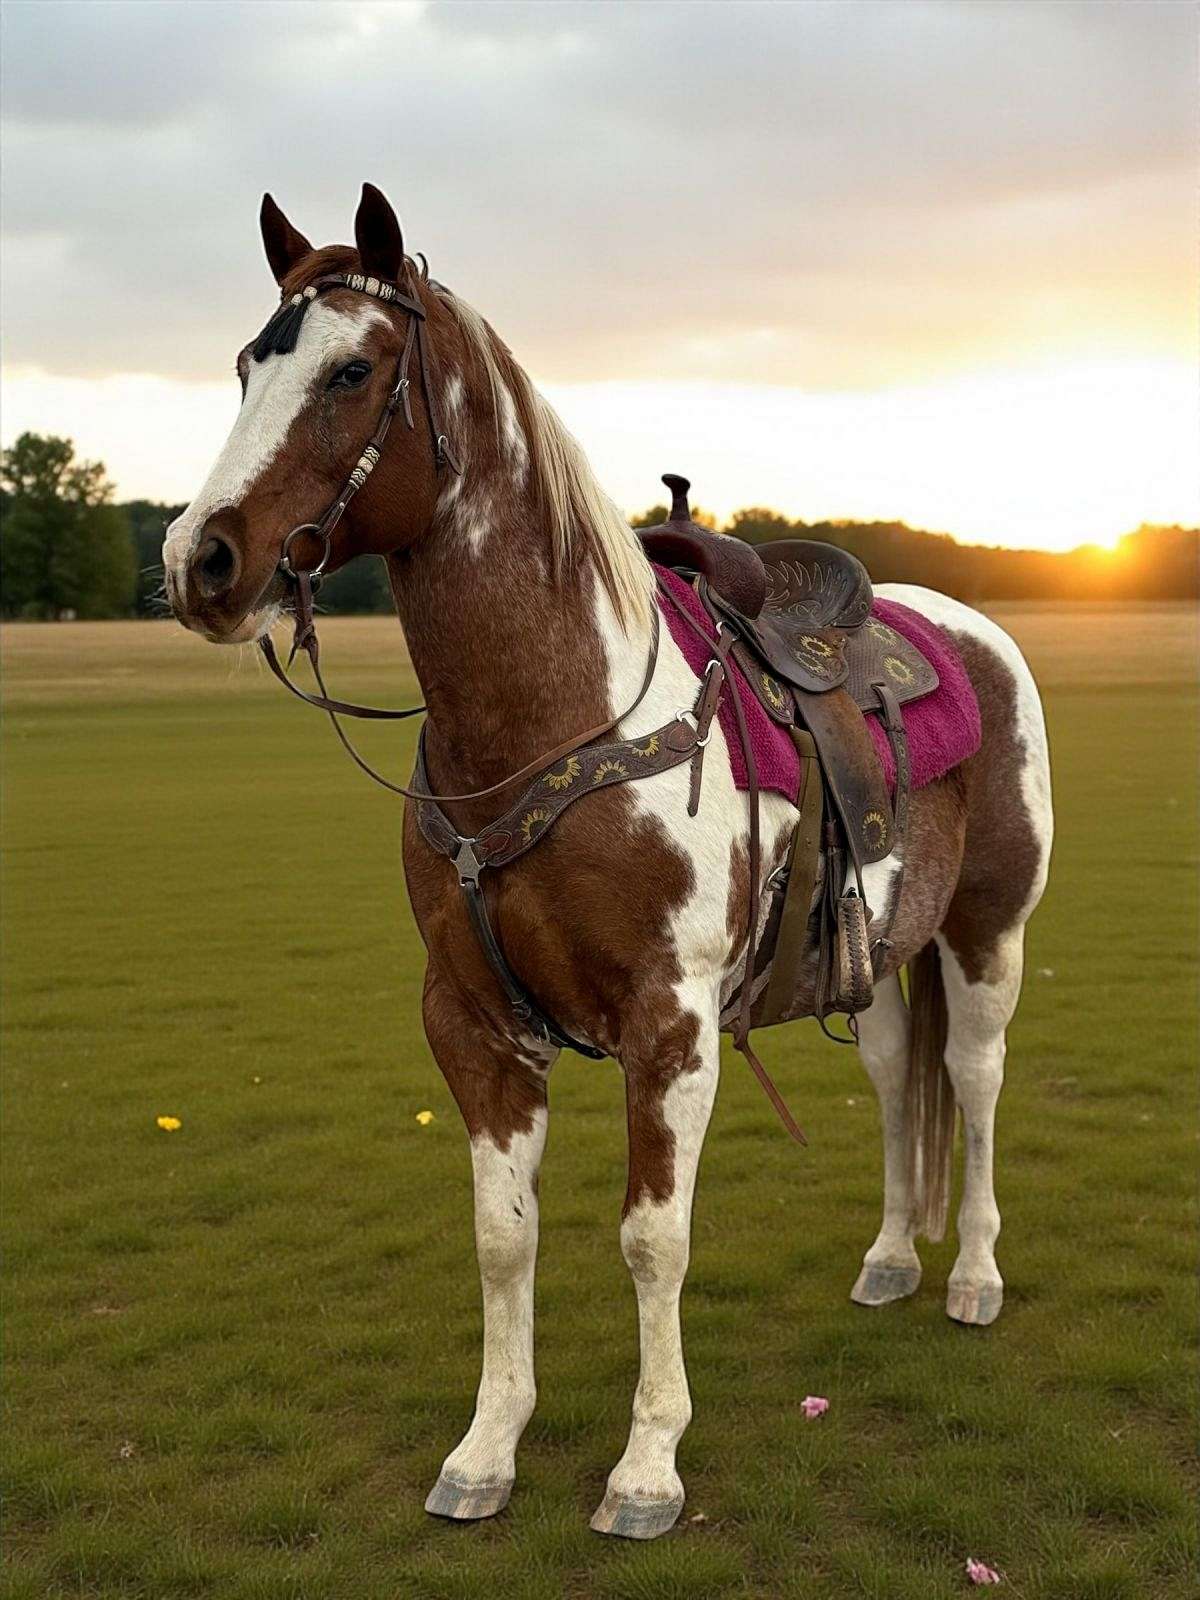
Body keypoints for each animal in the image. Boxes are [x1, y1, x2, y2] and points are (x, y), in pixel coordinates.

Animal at [163, 183, 1053, 1540]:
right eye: (246, 366)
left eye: (352, 370)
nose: (197, 558)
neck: (552, 720)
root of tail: (972, 629)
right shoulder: (470, 1022)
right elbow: (501, 1237)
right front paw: (486, 1450)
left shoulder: (669, 1027)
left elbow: (652, 1238)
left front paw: (646, 1467)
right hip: (873, 957)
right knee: (904, 1079)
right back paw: (895, 1256)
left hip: (987, 929)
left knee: (978, 1076)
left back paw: (976, 1276)